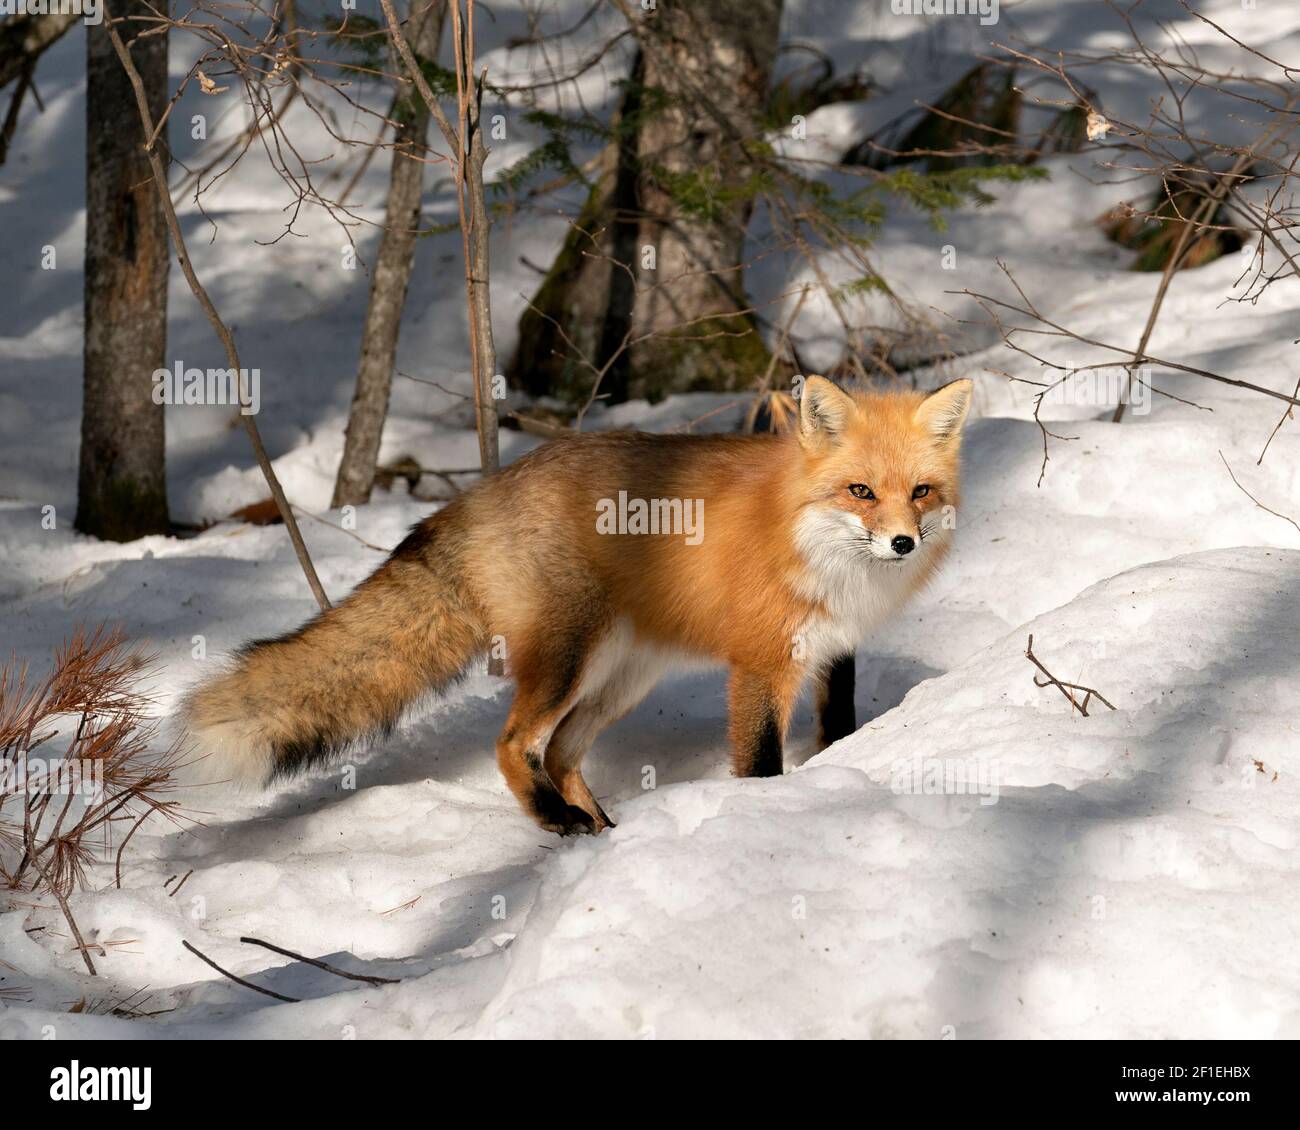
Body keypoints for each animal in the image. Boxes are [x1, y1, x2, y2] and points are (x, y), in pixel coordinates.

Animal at [185, 376, 973, 835]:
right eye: (860, 492)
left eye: (921, 492)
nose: (903, 542)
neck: (815, 547)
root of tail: (479, 492)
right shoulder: (761, 663)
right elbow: (760, 761)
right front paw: (764, 814)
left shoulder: (834, 649)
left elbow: (837, 727)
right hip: (569, 660)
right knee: (513, 745)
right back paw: (556, 821)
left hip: (620, 679)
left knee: (560, 751)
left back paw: (599, 827)